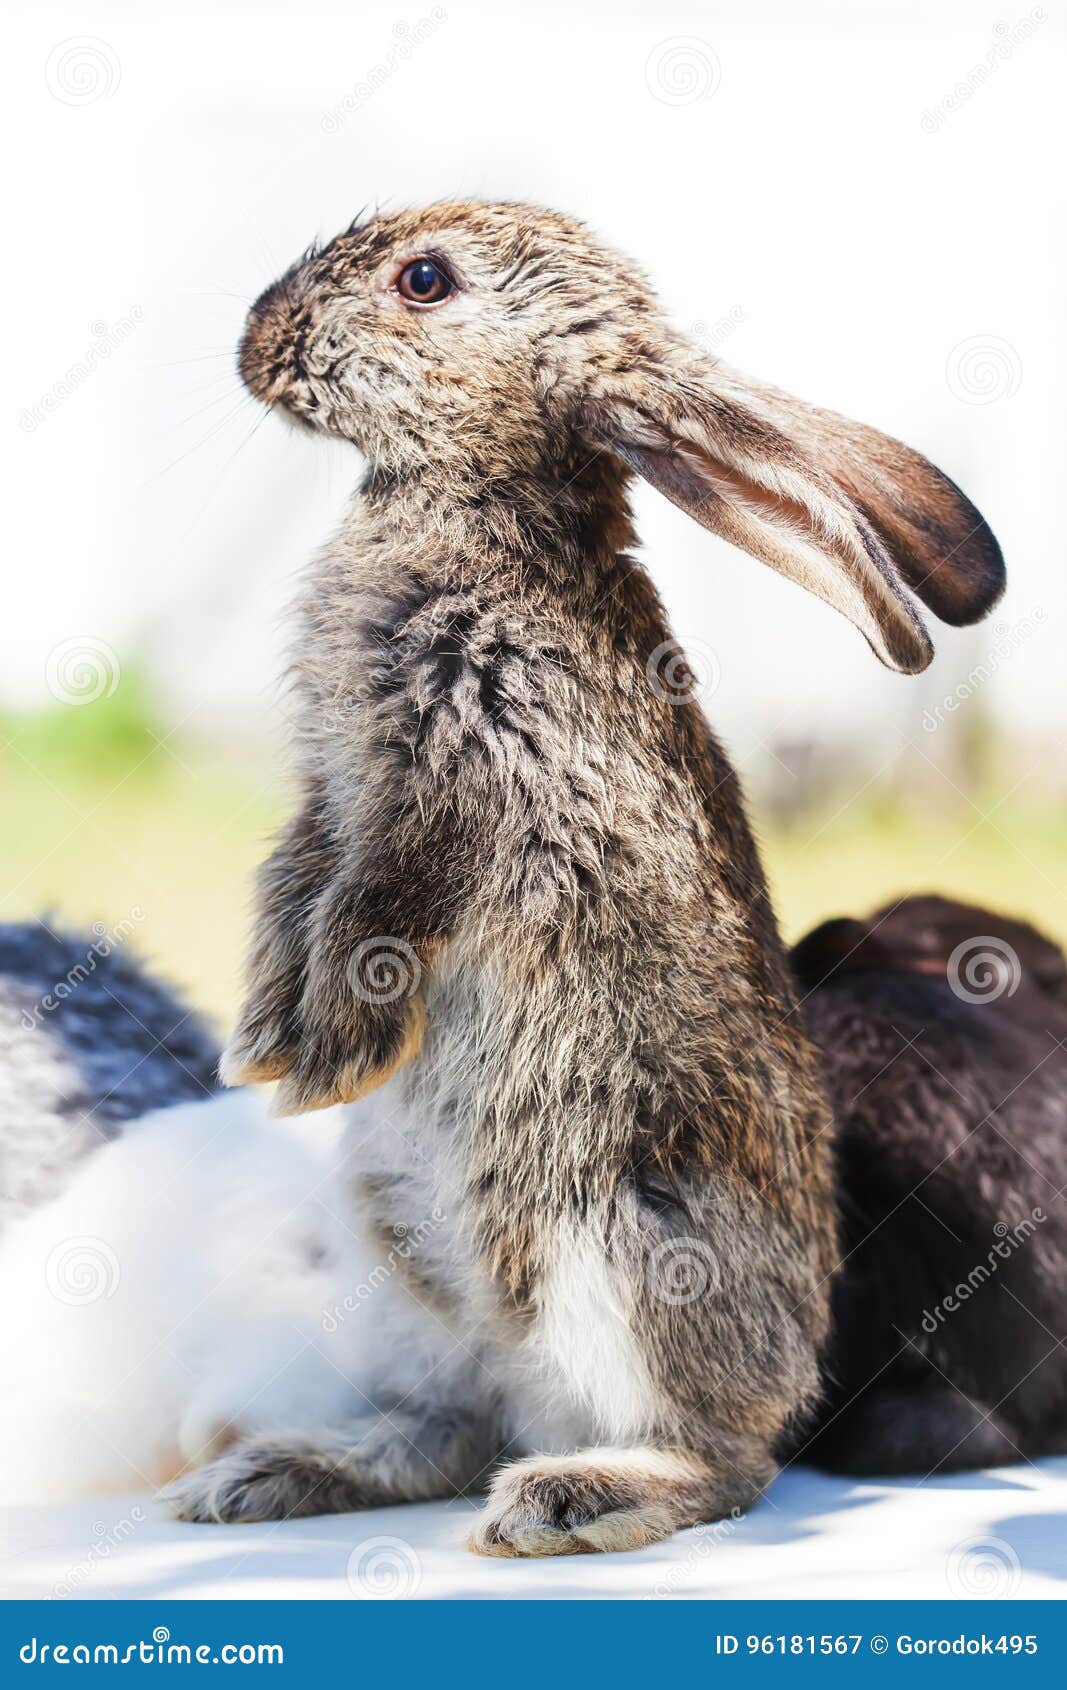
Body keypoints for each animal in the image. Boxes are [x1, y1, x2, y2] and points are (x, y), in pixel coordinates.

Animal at [168, 201, 1003, 1554]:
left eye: (423, 280)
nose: (255, 337)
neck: (472, 500)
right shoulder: (331, 790)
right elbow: (296, 883)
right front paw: (265, 1045)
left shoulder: (466, 786)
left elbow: (378, 911)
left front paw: (325, 1051)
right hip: (394, 1268)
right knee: (451, 1428)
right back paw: (270, 1474)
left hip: (619, 1233)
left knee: (720, 1466)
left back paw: (571, 1497)